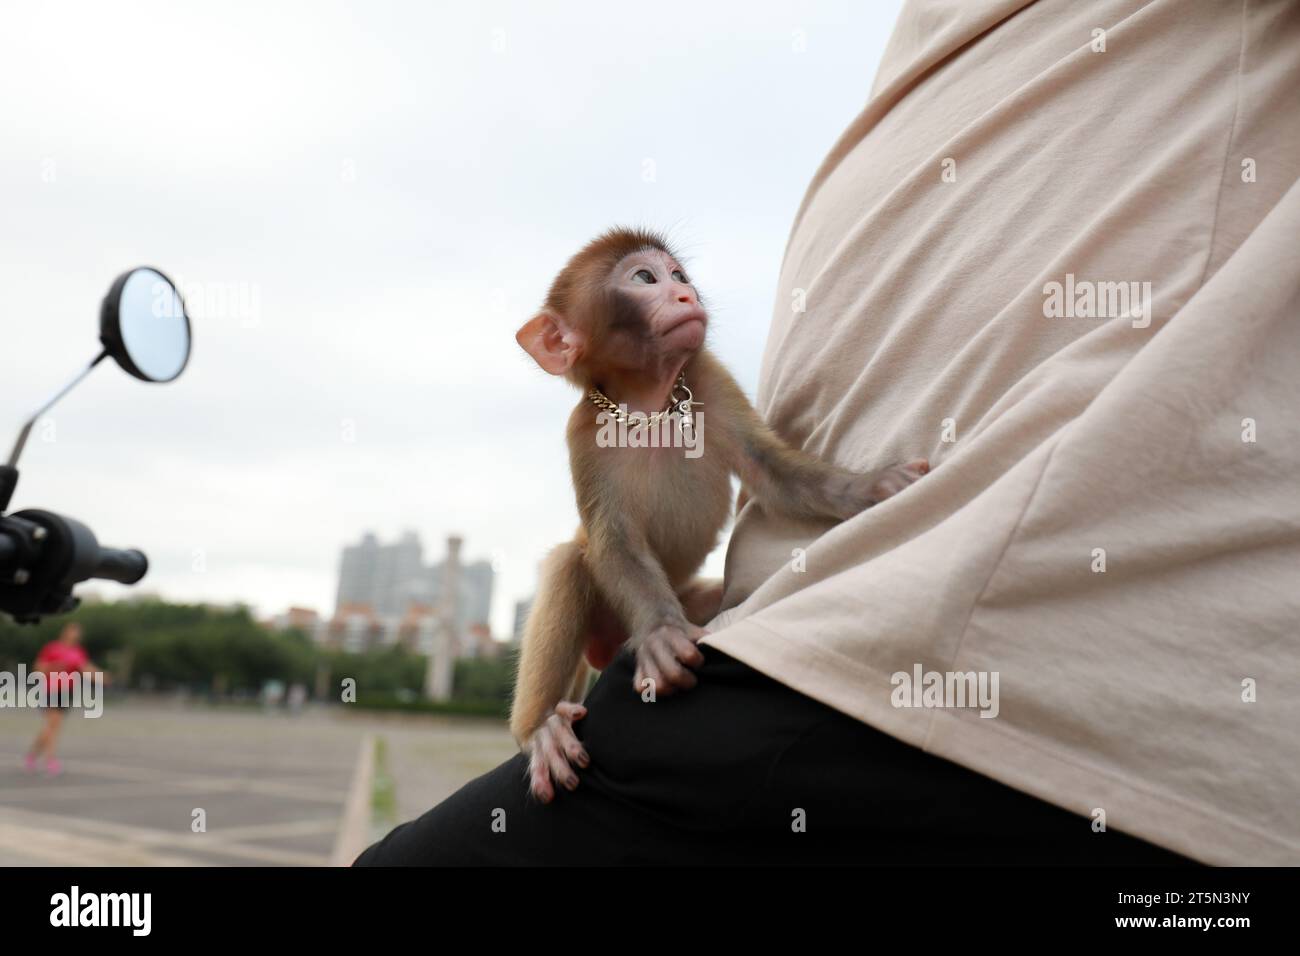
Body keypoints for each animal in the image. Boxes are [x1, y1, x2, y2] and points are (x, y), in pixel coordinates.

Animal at [511, 227, 928, 802]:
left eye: (678, 275)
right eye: (646, 278)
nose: (687, 295)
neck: (651, 405)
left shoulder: (709, 379)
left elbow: (773, 471)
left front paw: (870, 487)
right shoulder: (585, 435)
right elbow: (614, 541)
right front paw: (662, 634)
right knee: (571, 563)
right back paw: (540, 731)